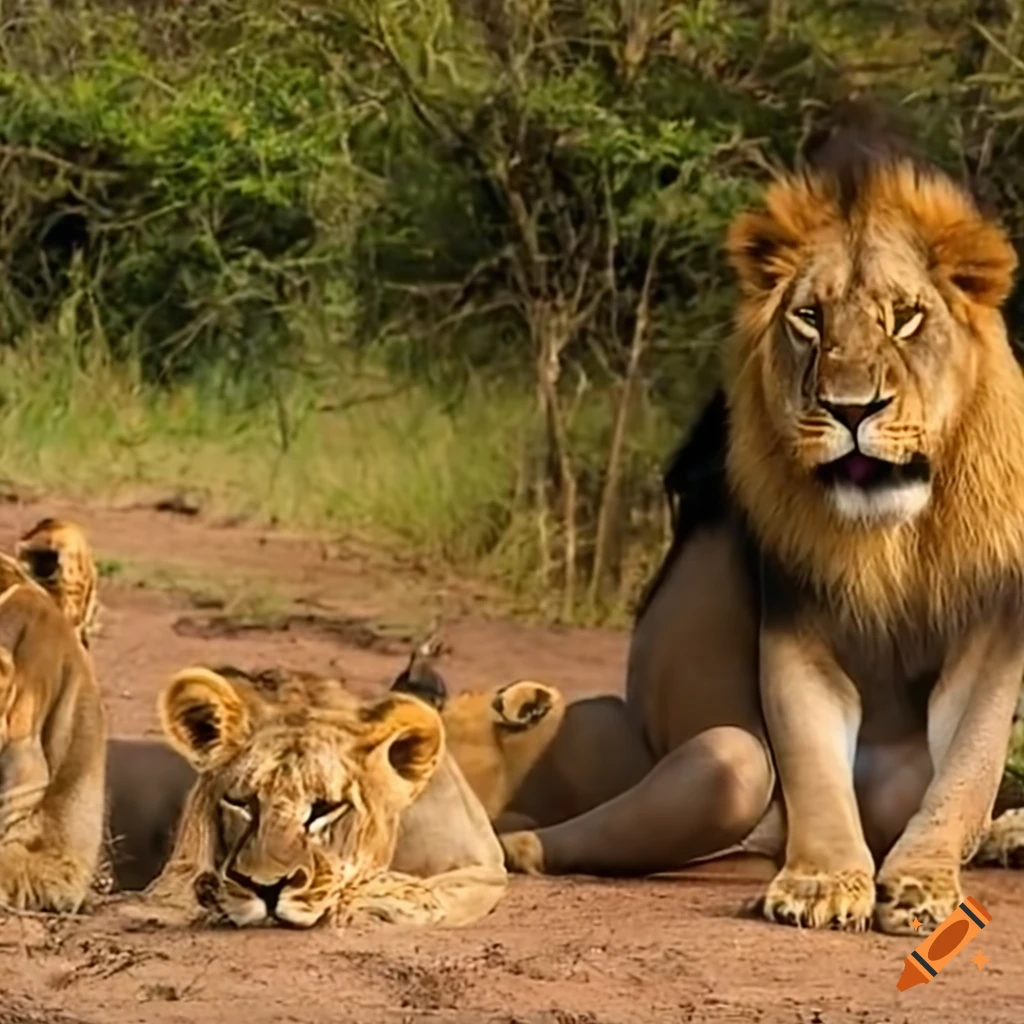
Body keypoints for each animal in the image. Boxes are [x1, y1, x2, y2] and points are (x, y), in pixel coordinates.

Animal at [499, 119, 1024, 935]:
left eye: (906, 318)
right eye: (810, 319)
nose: (850, 408)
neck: (892, 537)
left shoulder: (991, 628)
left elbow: (964, 773)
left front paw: (922, 883)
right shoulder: (792, 617)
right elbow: (811, 761)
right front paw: (819, 884)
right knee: (724, 769)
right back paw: (503, 844)